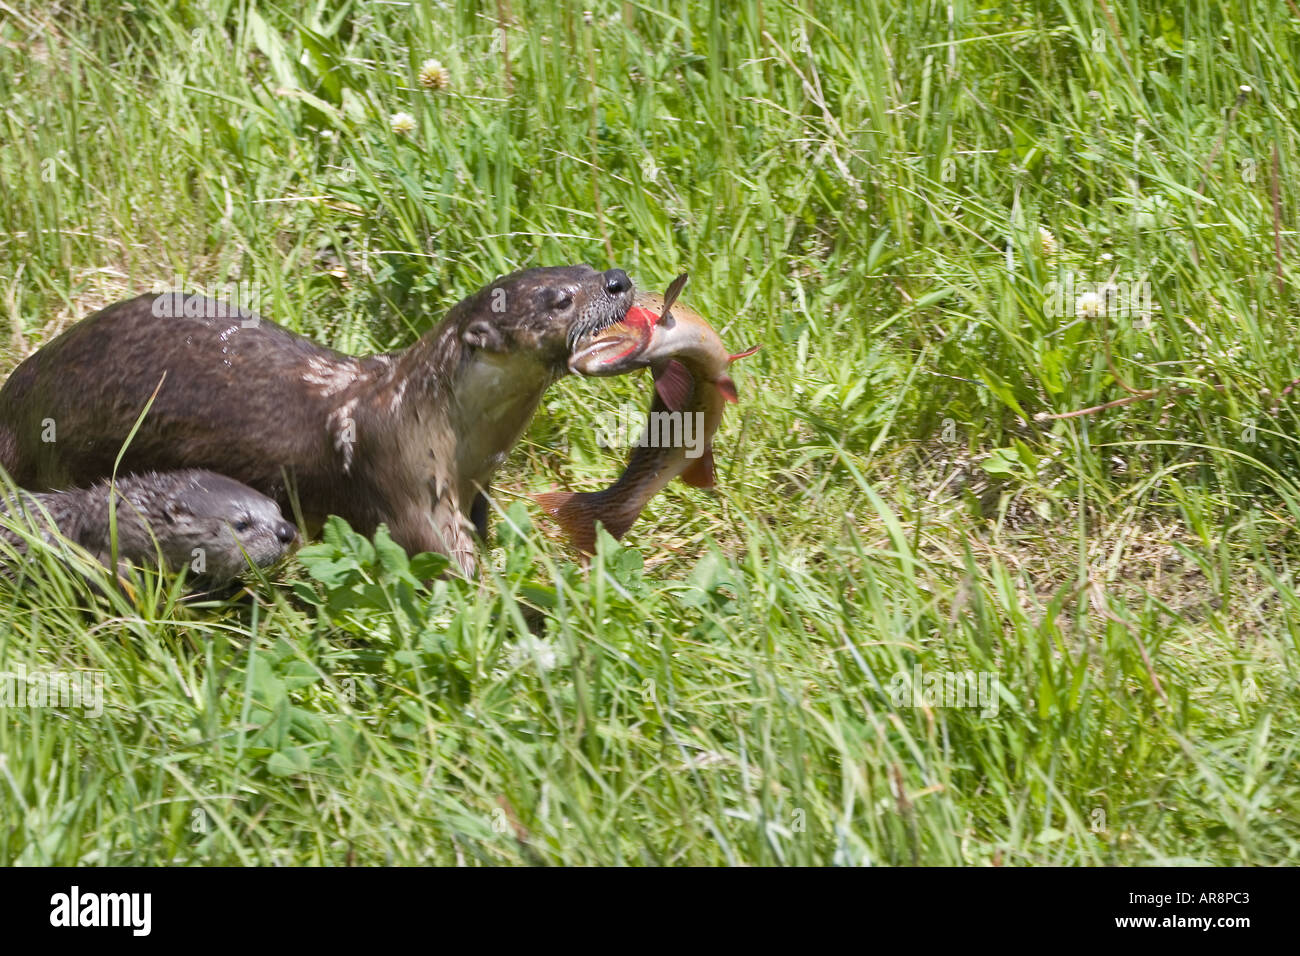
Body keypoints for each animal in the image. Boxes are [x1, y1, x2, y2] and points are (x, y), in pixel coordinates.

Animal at [0, 265, 634, 575]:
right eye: (560, 298)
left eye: (586, 263)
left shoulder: (476, 481)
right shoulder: (405, 481)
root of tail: (15, 394)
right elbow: (447, 559)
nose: (619, 280)